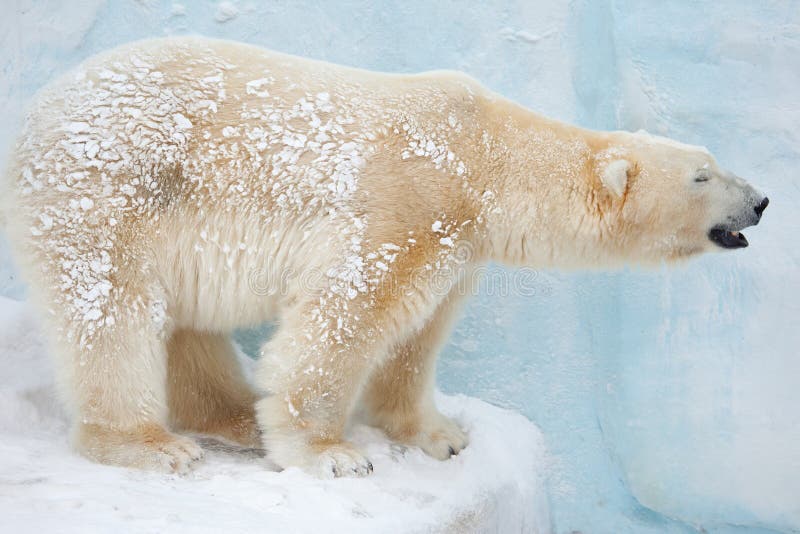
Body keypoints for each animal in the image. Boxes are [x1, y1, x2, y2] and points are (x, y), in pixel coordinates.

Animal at [2, 36, 768, 477]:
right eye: (703, 175)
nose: (761, 201)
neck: (481, 155)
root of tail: (41, 106)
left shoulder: (457, 242)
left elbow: (416, 334)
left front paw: (440, 436)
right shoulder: (406, 200)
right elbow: (345, 317)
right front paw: (331, 454)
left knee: (184, 324)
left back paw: (236, 419)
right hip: (111, 192)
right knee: (112, 311)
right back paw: (148, 443)